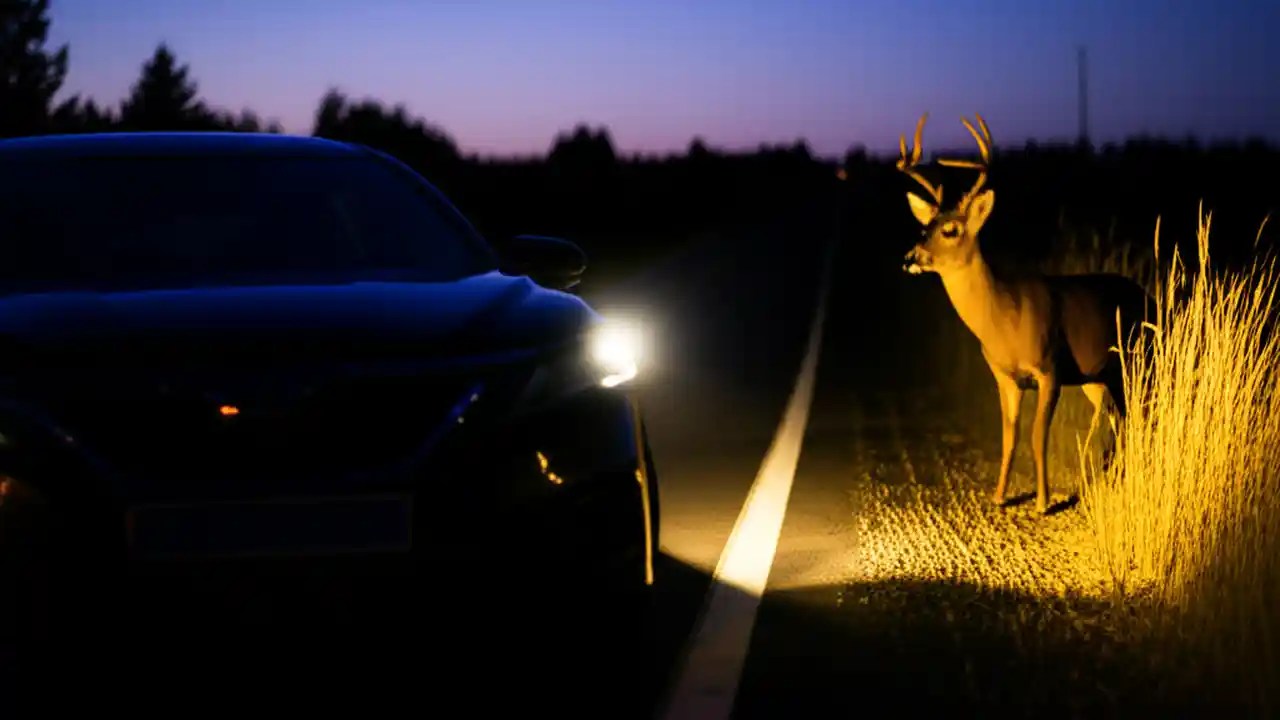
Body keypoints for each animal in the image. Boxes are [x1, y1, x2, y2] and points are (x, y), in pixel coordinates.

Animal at [897, 113, 1155, 515]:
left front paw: (1043, 502)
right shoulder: (1005, 376)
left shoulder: (1050, 370)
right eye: (925, 227)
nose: (910, 258)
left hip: (1139, 360)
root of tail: (1150, 297)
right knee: (1118, 417)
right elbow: (1010, 435)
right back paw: (1109, 478)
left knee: (1140, 414)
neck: (1005, 316)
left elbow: (1036, 436)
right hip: (1100, 377)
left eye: (951, 229)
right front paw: (1000, 496)